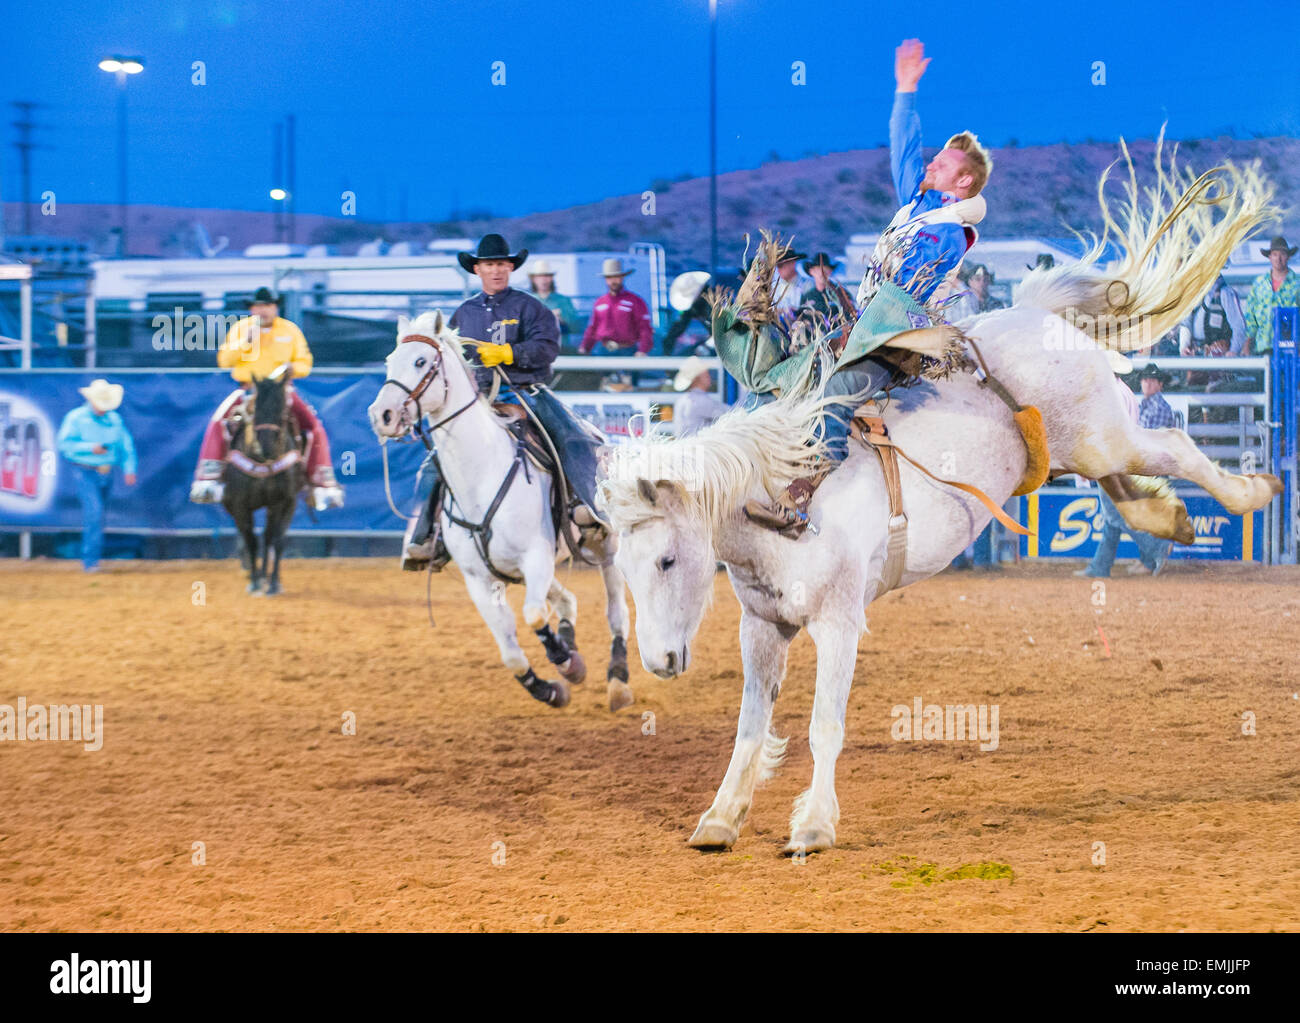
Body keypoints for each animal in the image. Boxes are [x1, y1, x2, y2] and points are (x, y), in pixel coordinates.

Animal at [222, 369, 305, 596]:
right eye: (256, 409)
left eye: (282, 410)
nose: (266, 447)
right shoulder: (240, 505)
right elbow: (251, 540)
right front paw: (255, 581)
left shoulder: (280, 502)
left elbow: (274, 539)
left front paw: (273, 582)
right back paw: (254, 573)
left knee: (271, 538)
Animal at [367, 311, 633, 712]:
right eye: (388, 361)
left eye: (421, 361)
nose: (381, 415)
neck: (481, 476)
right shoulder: (479, 580)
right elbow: (509, 650)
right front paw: (550, 688)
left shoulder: (536, 557)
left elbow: (534, 615)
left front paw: (566, 662)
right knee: (566, 599)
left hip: (606, 547)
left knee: (616, 611)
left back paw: (617, 679)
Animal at [597, 149, 1283, 854]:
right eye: (624, 567)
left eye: (668, 561)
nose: (660, 661)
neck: (779, 502)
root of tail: (1033, 312)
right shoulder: (761, 626)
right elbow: (749, 726)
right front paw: (721, 817)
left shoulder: (840, 621)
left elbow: (824, 726)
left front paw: (814, 825)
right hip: (1073, 454)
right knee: (1124, 489)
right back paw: (1170, 517)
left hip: (1104, 437)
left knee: (1173, 445)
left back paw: (1251, 490)